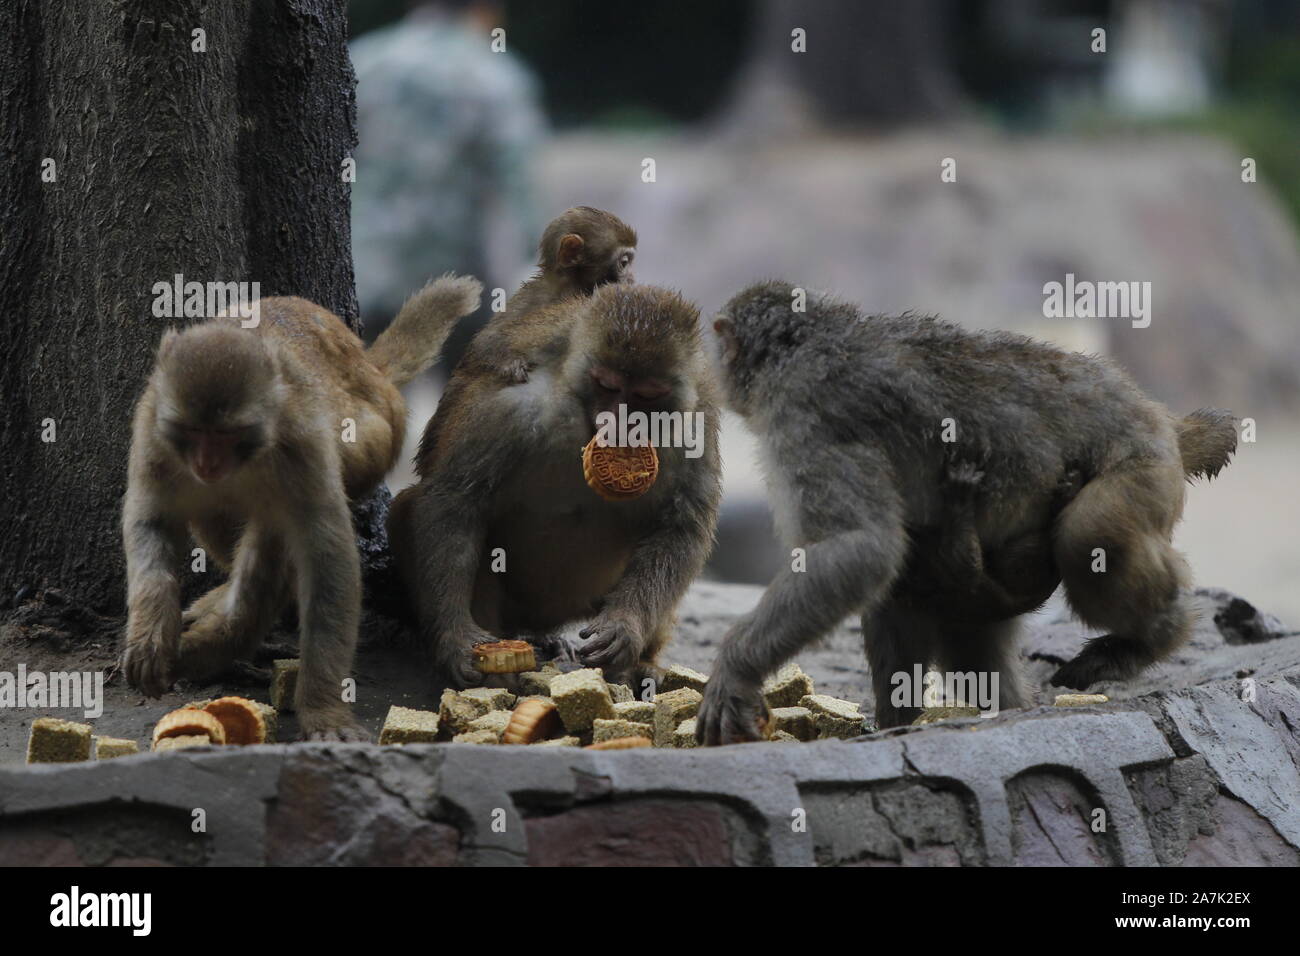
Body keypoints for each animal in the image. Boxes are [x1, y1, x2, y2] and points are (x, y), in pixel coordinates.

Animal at [120, 275, 482, 740]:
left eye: (226, 434)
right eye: (193, 430)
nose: (207, 464)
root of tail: (373, 369)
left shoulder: (300, 441)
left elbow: (328, 560)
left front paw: (322, 708)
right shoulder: (152, 427)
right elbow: (152, 522)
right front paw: (150, 633)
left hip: (375, 440)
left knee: (274, 532)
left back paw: (224, 638)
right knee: (214, 511)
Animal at [386, 283, 721, 689]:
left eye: (646, 394)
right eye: (608, 385)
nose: (619, 421)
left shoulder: (700, 416)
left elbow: (680, 529)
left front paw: (626, 626)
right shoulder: (512, 408)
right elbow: (454, 499)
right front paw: (455, 637)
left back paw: (636, 665)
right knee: (414, 508)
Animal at [465, 206, 637, 384]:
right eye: (624, 263)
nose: (632, 278)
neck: (566, 288)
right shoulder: (534, 295)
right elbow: (485, 340)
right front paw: (509, 363)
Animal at [697, 280, 1237, 743]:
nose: (714, 367)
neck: (807, 346)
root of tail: (1162, 418)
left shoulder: (810, 414)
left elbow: (857, 548)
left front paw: (735, 673)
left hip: (1144, 468)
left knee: (1090, 533)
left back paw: (1155, 637)